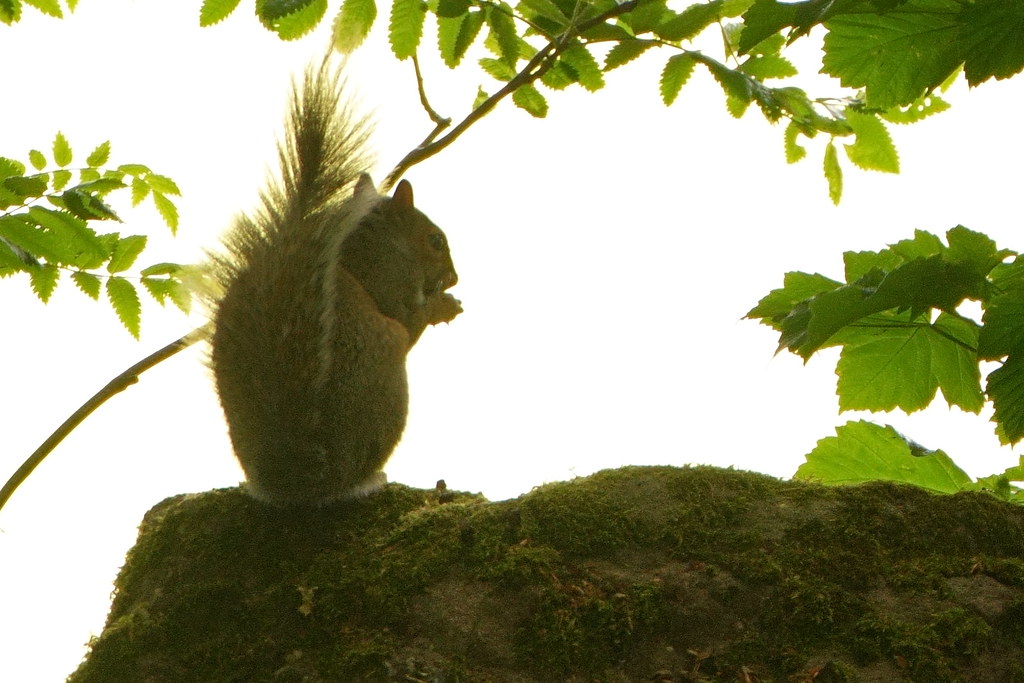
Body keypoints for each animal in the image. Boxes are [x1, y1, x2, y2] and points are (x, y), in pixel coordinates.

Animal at [207, 62, 462, 506]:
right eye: (435, 240)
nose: (455, 275)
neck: (373, 242)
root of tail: (301, 480)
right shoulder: (390, 280)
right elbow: (411, 319)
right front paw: (444, 306)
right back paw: (367, 480)